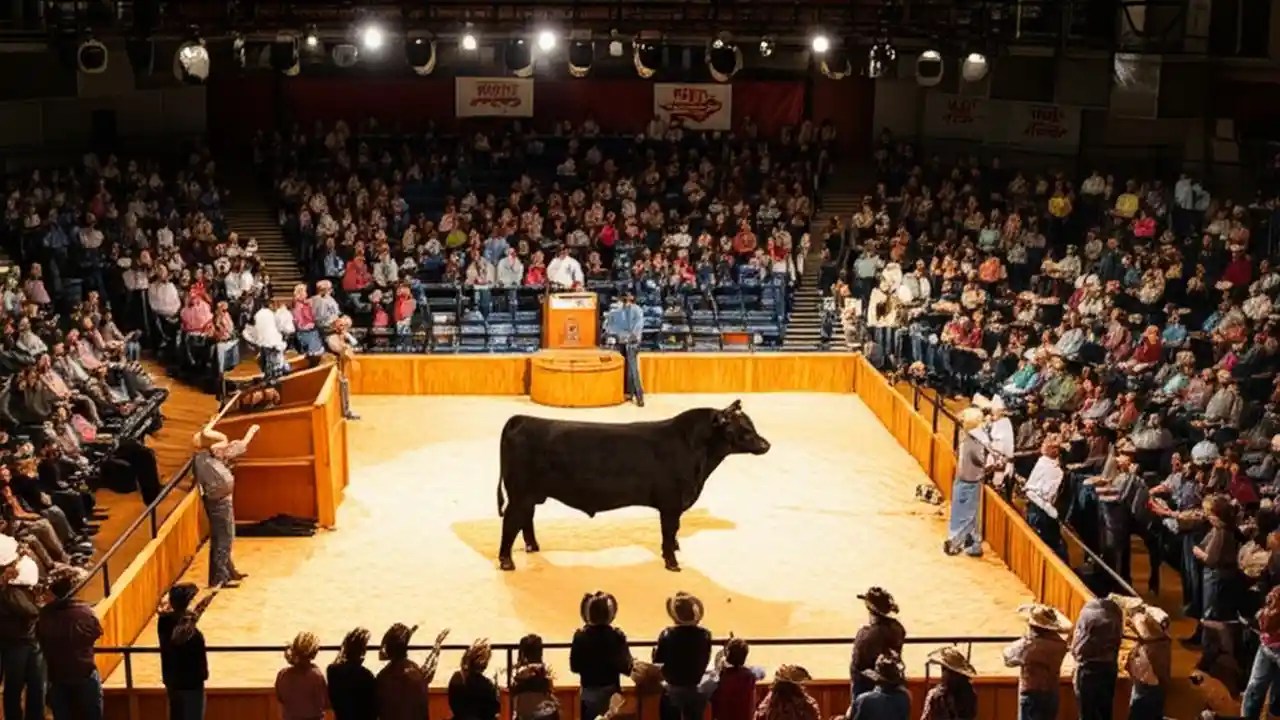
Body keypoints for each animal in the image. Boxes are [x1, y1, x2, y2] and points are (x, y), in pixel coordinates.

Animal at [496, 399, 770, 572]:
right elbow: (669, 531)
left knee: (526, 520)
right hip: (520, 494)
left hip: (530, 495)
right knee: (511, 522)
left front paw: (675, 549)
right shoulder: (671, 504)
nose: (766, 444)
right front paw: (672, 563)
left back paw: (532, 547)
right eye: (744, 429)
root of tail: (520, 419)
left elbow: (672, 533)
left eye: (751, 425)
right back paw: (507, 562)